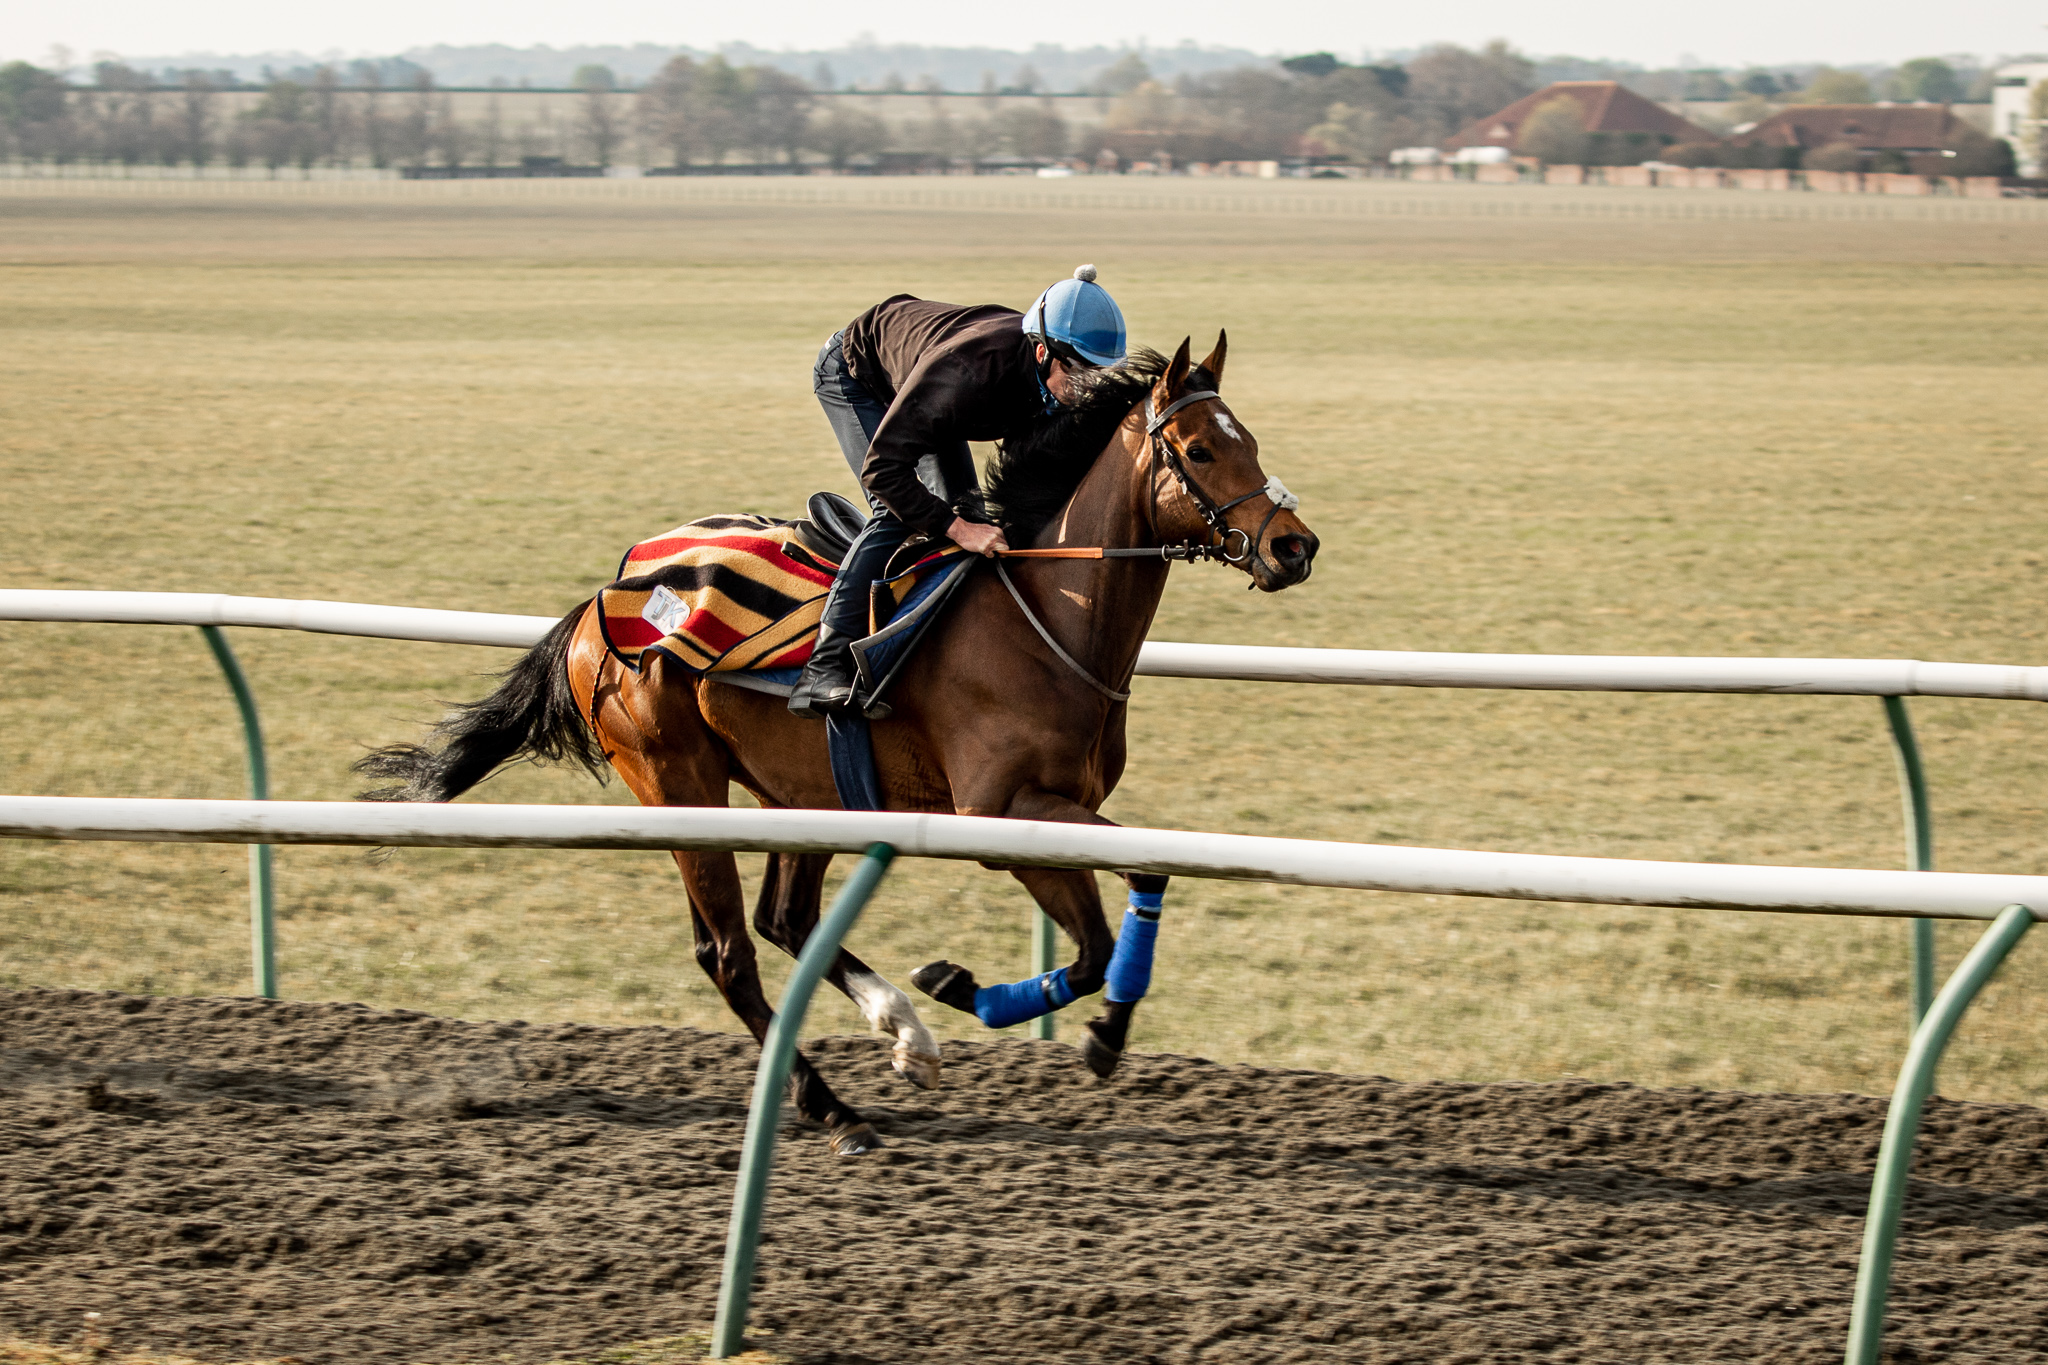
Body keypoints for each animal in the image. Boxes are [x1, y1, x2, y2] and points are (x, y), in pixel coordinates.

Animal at [357, 333, 1318, 1155]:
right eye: (1199, 450)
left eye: (1249, 439)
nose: (1294, 546)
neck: (1047, 616)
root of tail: (602, 598)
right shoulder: (1000, 811)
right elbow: (1087, 940)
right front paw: (965, 987)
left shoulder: (1052, 807)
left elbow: (1126, 899)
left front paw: (1091, 1030)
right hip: (677, 779)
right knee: (728, 952)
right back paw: (835, 1107)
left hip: (800, 787)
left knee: (784, 919)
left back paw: (903, 1031)